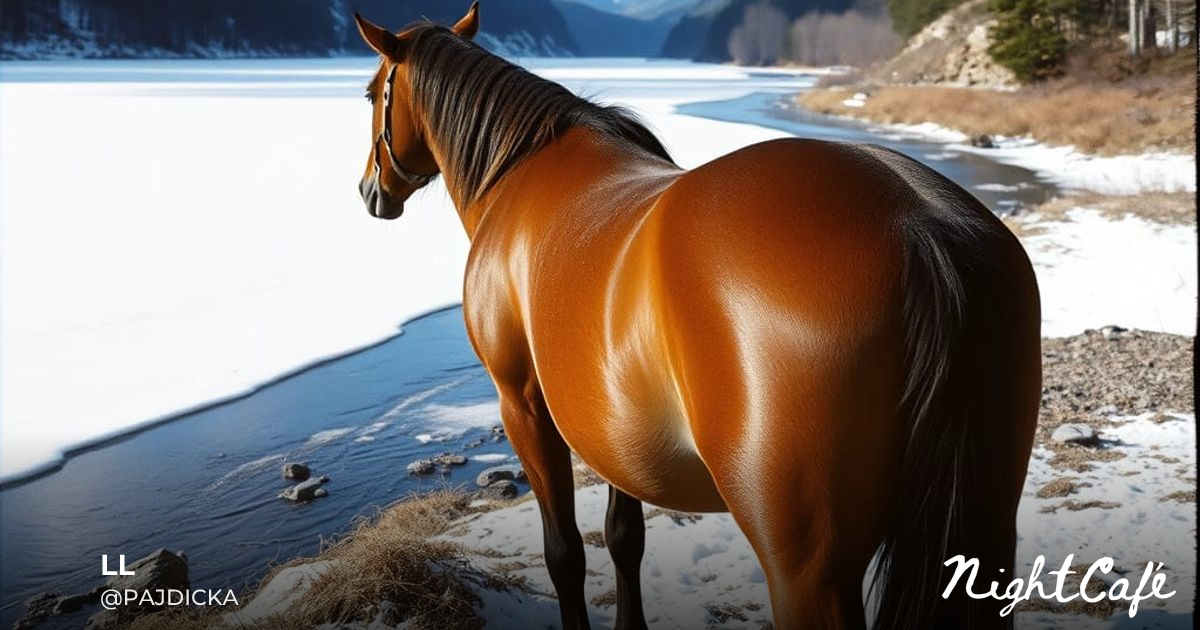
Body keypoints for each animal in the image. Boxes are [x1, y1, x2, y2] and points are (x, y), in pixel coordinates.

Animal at [352, 4, 1041, 629]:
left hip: (807, 567)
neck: (519, 172)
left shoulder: (522, 402)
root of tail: (918, 225)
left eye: (370, 92)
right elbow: (624, 539)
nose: (370, 191)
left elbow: (565, 554)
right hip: (986, 526)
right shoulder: (610, 424)